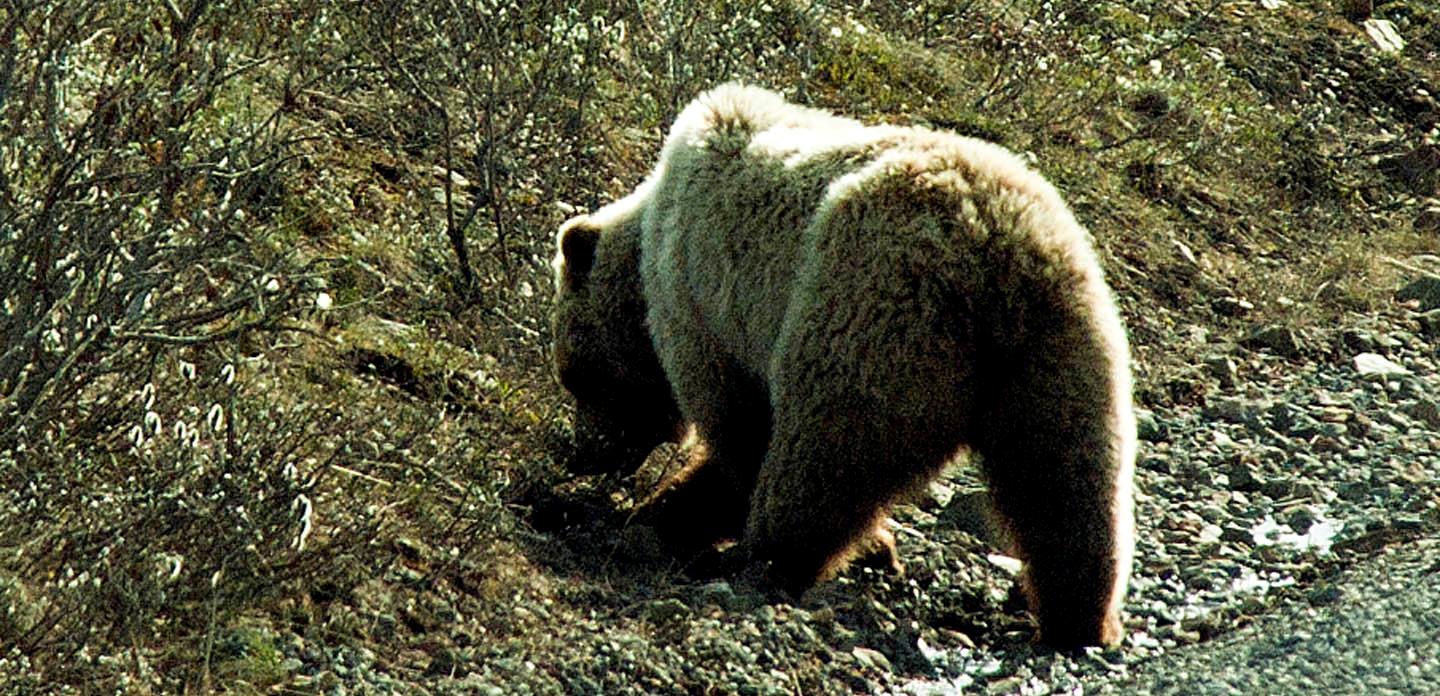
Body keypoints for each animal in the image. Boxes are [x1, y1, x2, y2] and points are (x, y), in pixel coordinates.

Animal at [551, 83, 1136, 649]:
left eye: (576, 377)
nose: (583, 454)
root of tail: (994, 243)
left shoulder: (703, 302)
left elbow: (741, 428)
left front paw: (675, 514)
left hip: (870, 308)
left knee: (827, 452)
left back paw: (769, 556)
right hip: (1061, 348)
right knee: (1066, 480)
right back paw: (1079, 617)